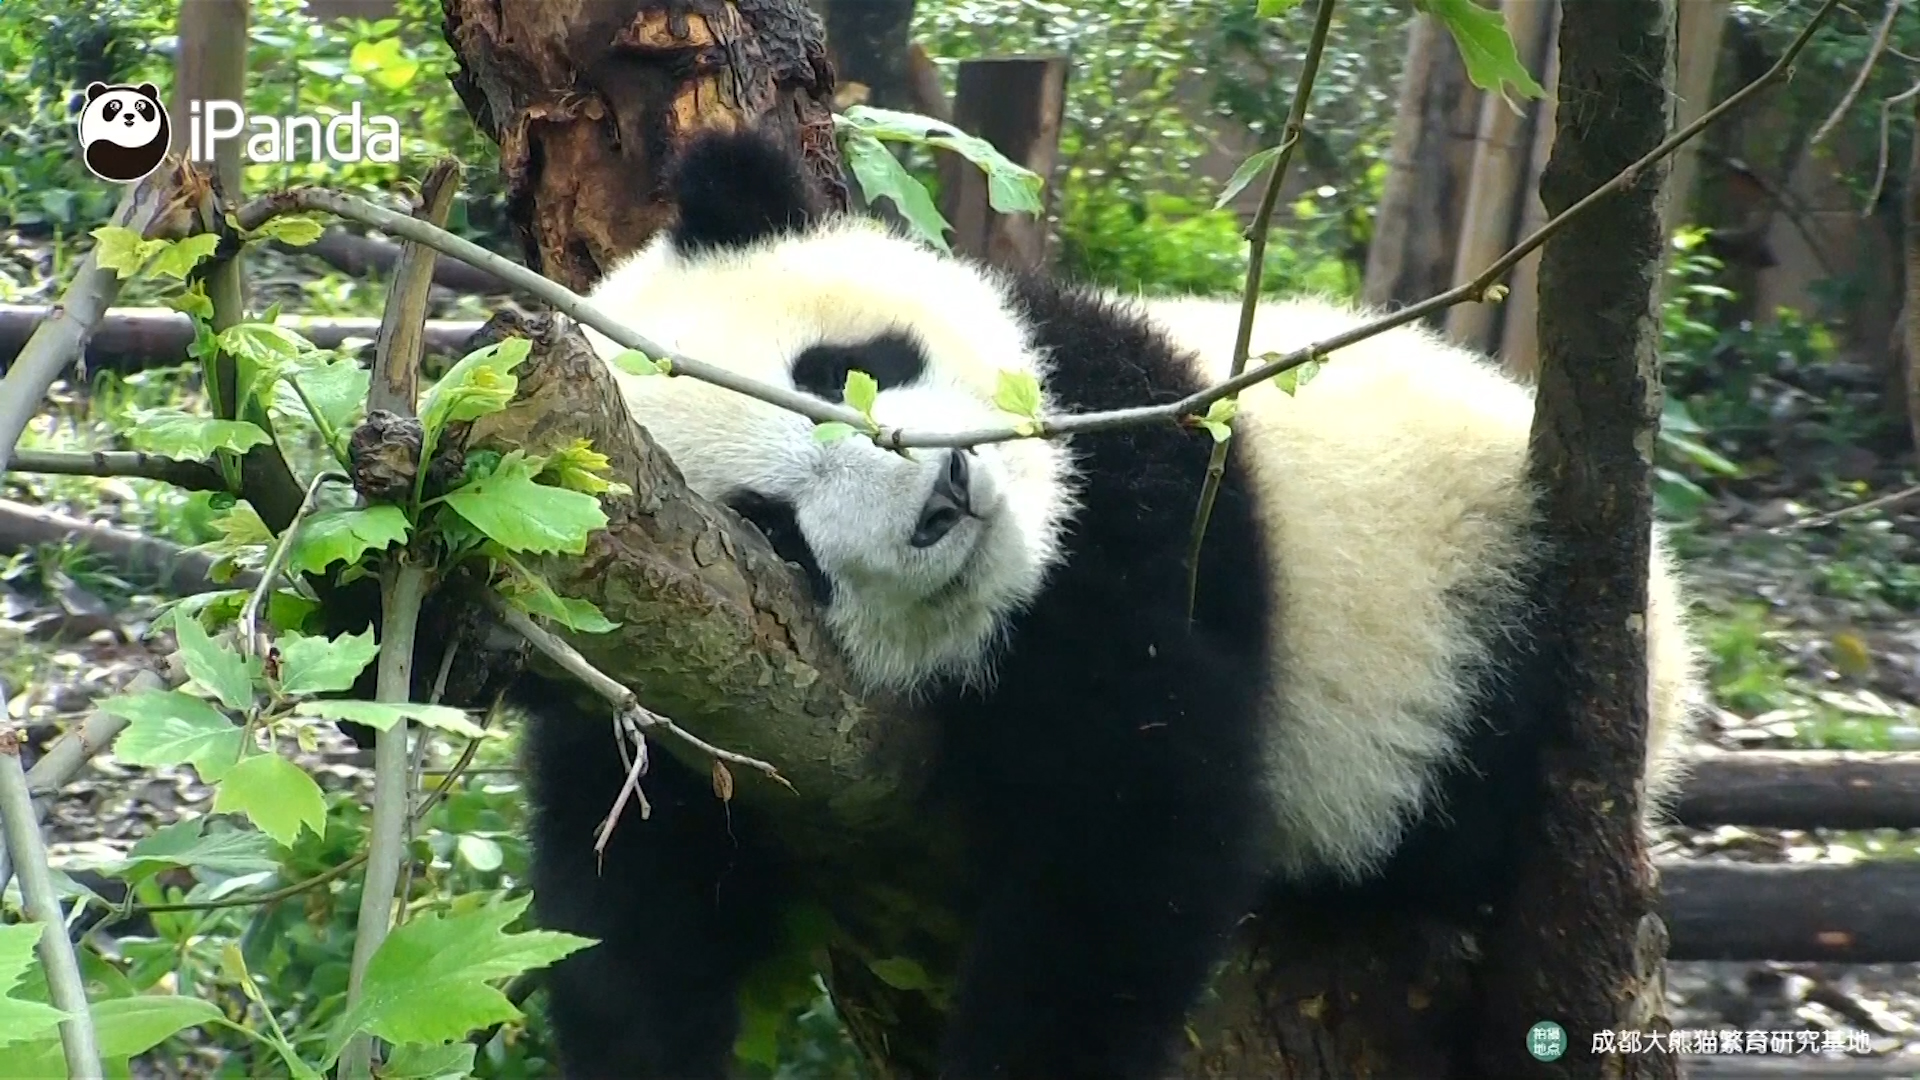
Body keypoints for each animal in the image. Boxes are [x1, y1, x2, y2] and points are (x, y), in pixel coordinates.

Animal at [515, 127, 1702, 1080]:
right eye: (775, 532)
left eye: (841, 367)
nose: (942, 500)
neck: (1033, 565)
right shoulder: (659, 678)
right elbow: (628, 897)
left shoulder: (1146, 463)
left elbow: (1132, 833)